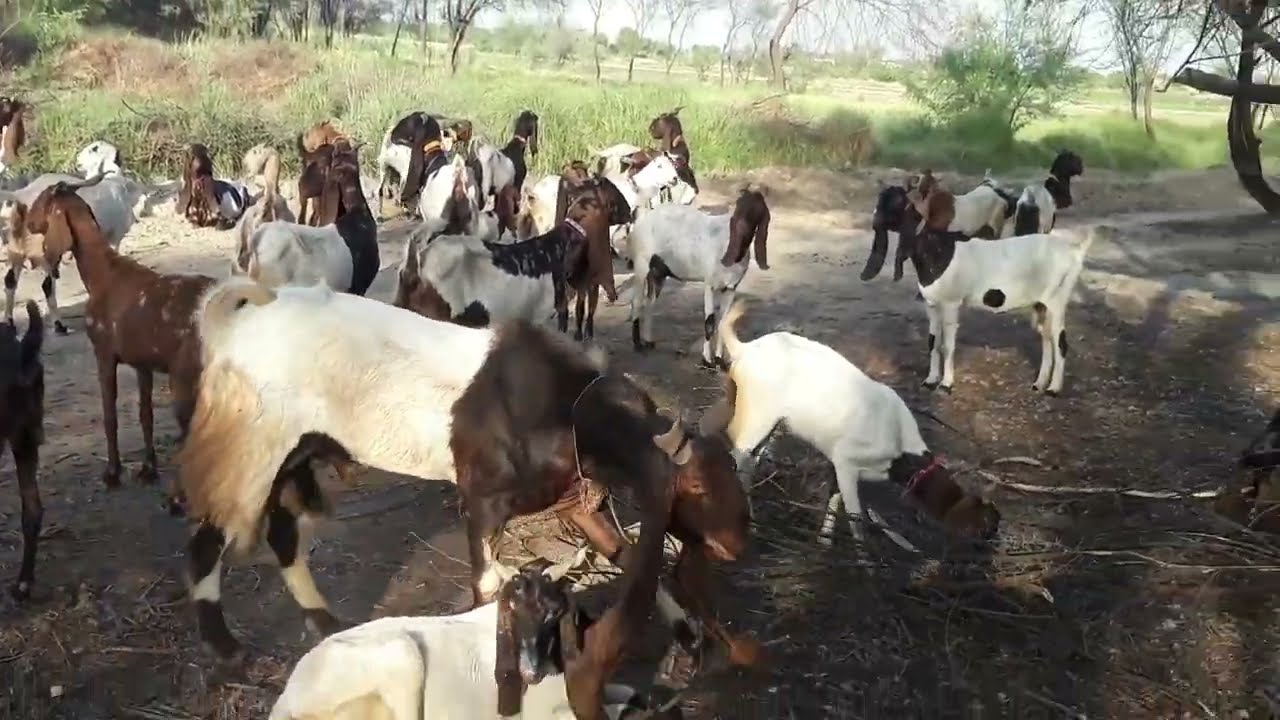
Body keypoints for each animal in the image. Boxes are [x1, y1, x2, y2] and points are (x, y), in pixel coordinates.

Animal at [3, 141, 153, 334]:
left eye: (94, 149)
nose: (77, 161)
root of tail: (21, 198)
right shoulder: (113, 238)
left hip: (16, 251)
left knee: (10, 282)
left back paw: (10, 322)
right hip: (46, 251)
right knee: (47, 286)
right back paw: (58, 324)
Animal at [25, 177, 215, 493]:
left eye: (44, 199)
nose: (27, 220)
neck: (103, 274)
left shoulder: (103, 353)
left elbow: (110, 415)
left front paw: (112, 472)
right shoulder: (142, 364)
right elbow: (145, 415)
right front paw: (148, 469)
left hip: (186, 379)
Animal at [626, 185, 771, 367]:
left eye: (758, 215)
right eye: (740, 210)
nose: (743, 232)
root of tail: (643, 217)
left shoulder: (731, 288)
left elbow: (723, 321)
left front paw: (719, 359)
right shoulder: (710, 284)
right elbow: (709, 322)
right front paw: (707, 360)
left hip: (657, 273)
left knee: (650, 303)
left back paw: (648, 341)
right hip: (641, 264)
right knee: (637, 302)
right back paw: (637, 344)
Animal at [700, 300, 1000, 552]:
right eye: (986, 529)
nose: (994, 552)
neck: (902, 453)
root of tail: (747, 348)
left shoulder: (838, 466)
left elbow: (834, 501)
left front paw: (824, 544)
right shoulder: (846, 461)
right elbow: (857, 520)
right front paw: (864, 563)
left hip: (763, 420)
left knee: (744, 459)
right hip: (757, 416)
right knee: (735, 456)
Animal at [861, 187, 1097, 395]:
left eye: (895, 202)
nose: (874, 220)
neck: (938, 250)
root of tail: (1074, 252)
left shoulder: (952, 303)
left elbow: (948, 345)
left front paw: (946, 385)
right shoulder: (932, 304)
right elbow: (932, 342)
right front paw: (930, 380)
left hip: (1057, 300)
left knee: (1061, 343)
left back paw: (1054, 389)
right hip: (1041, 305)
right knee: (1047, 339)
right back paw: (1039, 384)